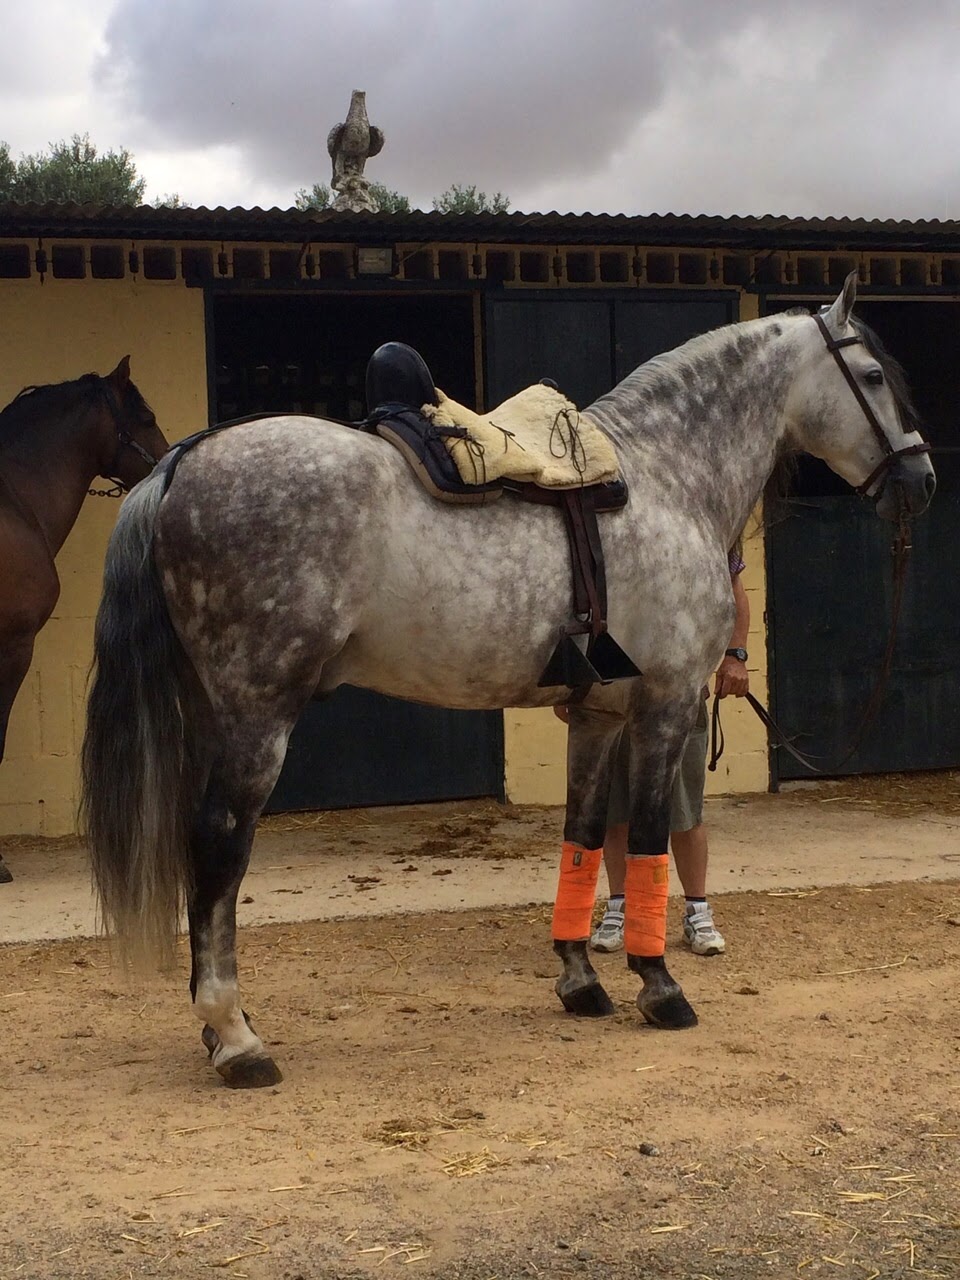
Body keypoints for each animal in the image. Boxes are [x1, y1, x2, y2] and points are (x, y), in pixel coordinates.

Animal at [81, 274, 934, 1088]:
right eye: (871, 376)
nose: (921, 480)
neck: (667, 476)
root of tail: (181, 463)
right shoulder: (664, 706)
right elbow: (648, 841)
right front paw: (659, 987)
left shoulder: (597, 718)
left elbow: (582, 840)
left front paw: (581, 982)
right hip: (257, 719)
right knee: (220, 845)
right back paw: (236, 1038)